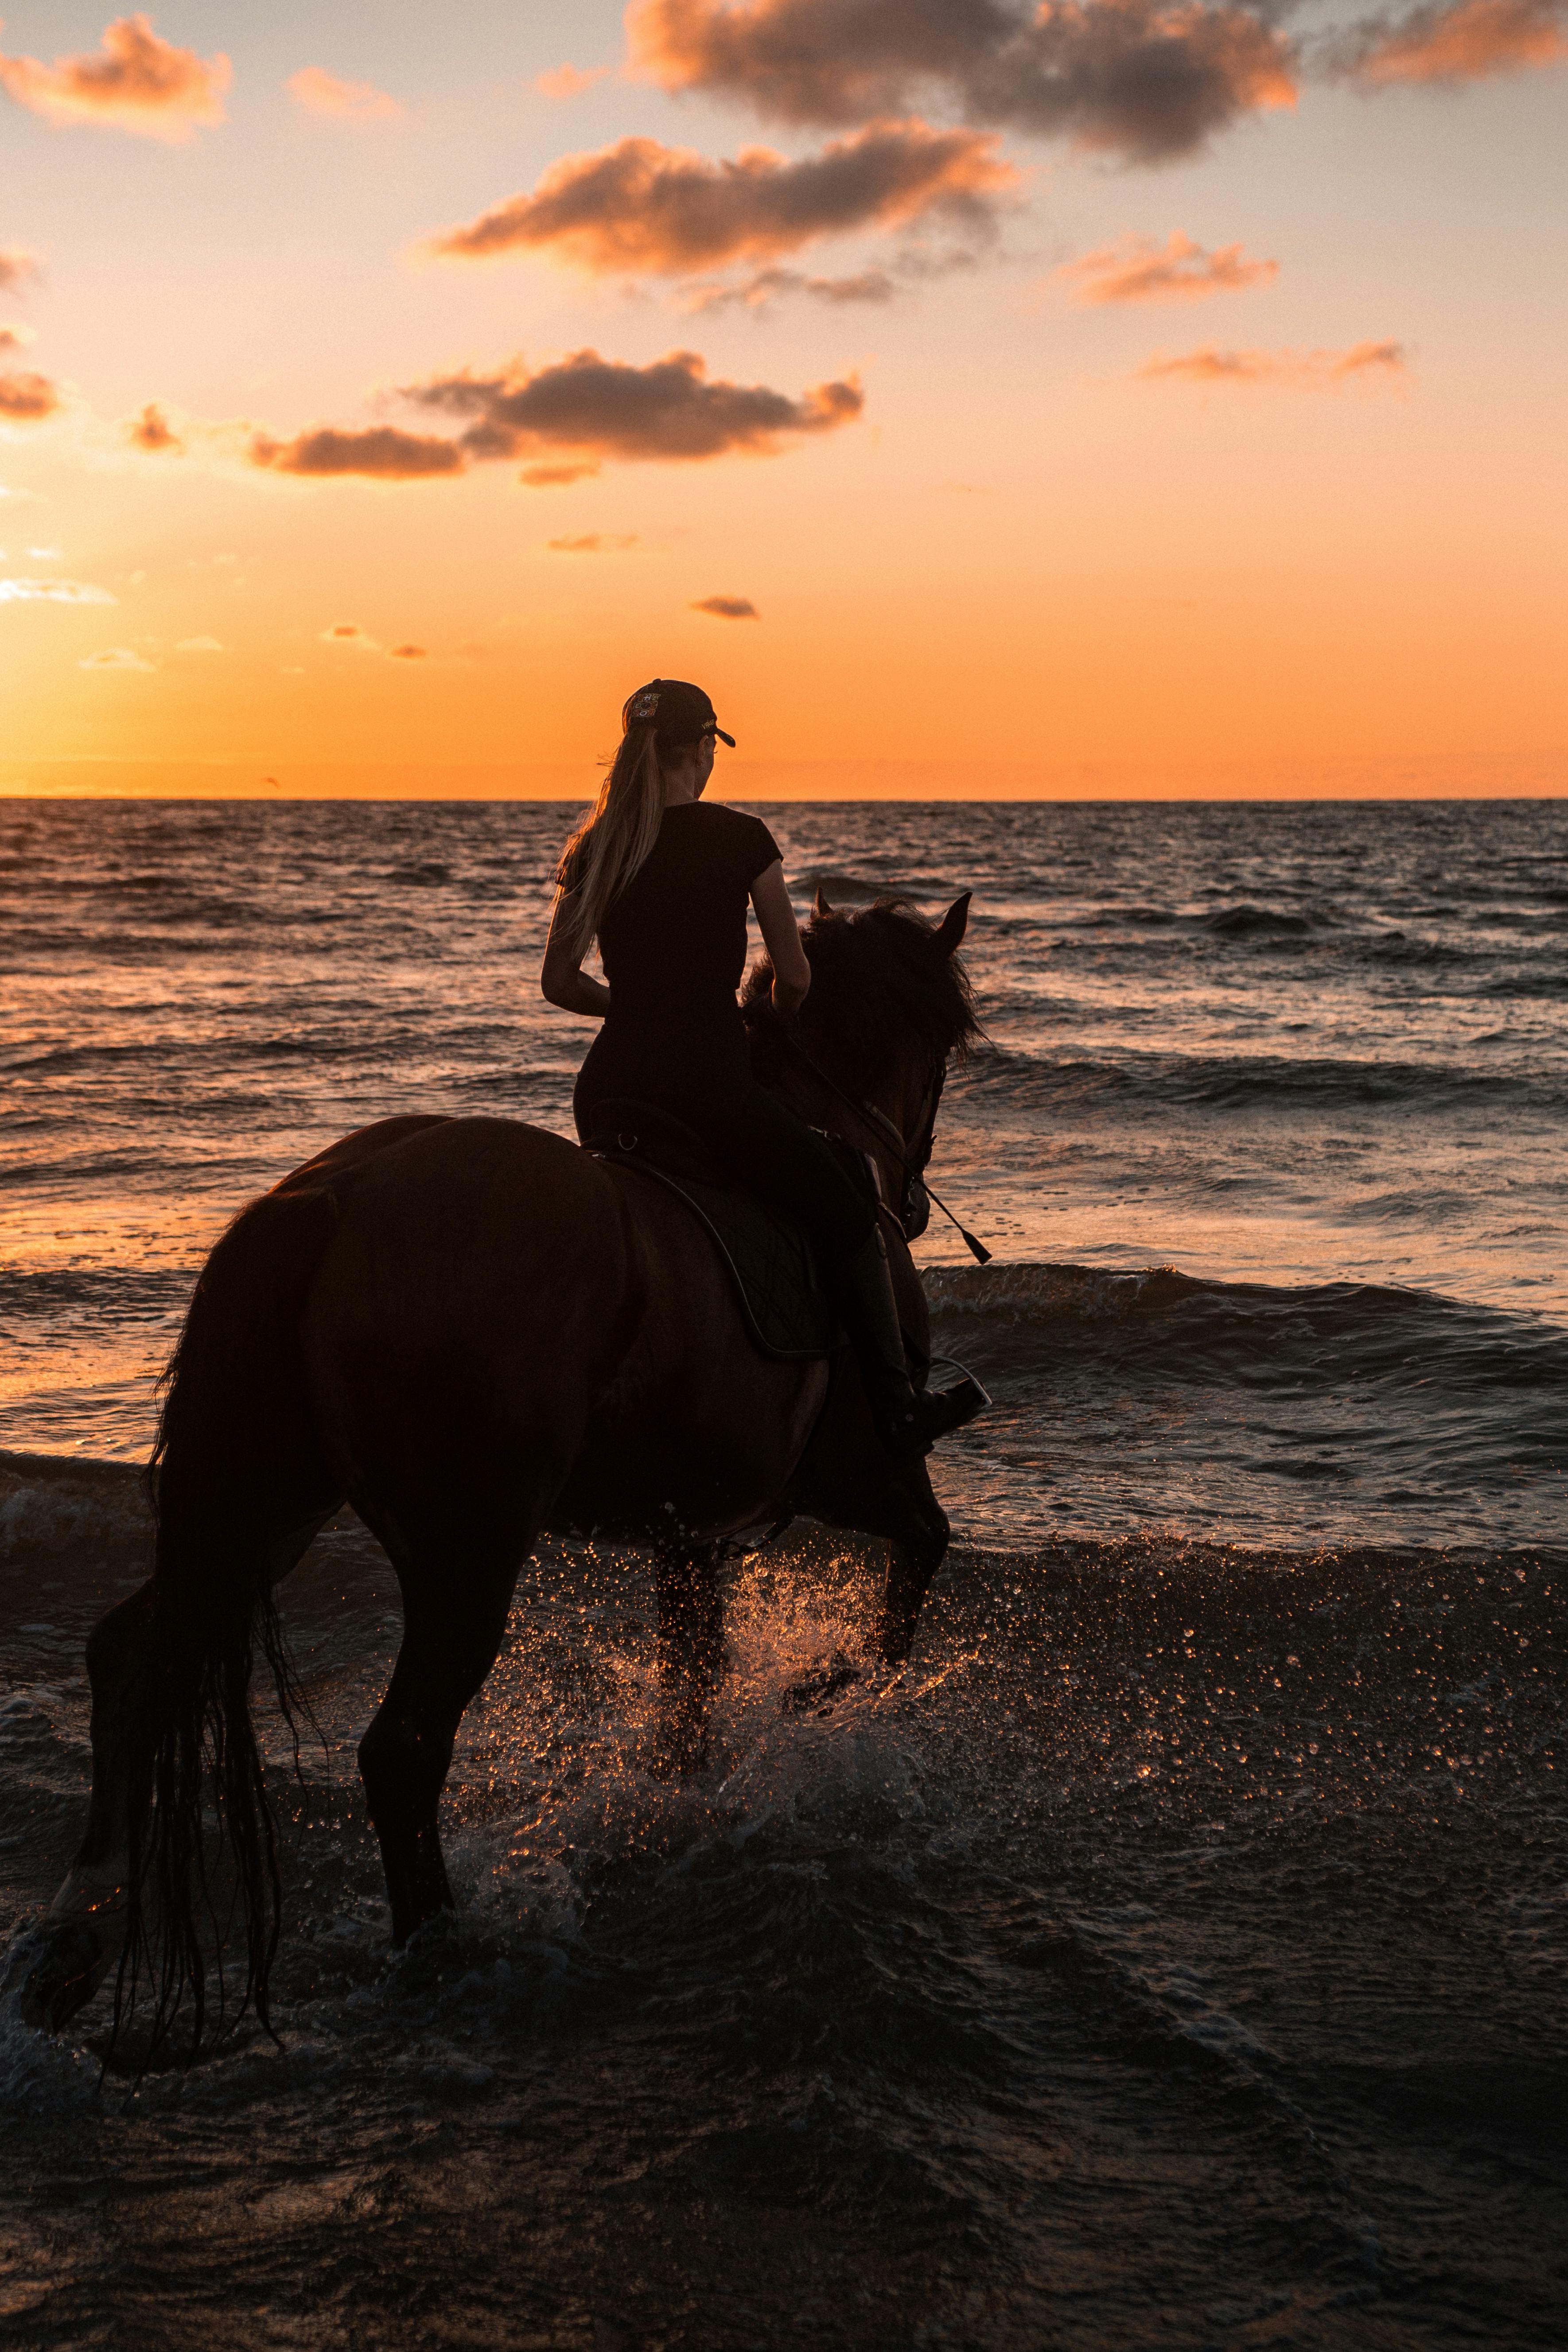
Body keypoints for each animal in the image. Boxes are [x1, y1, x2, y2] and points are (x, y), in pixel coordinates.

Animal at [12, 889, 980, 2048]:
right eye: (942, 1044)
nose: (911, 1202)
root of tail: (334, 1198)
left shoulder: (692, 1537)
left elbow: (691, 1694)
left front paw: (690, 1793)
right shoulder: (868, 1477)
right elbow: (905, 1595)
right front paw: (808, 1694)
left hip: (269, 1507)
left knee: (133, 1655)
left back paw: (71, 1937)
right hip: (464, 1555)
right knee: (401, 1748)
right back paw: (437, 1946)